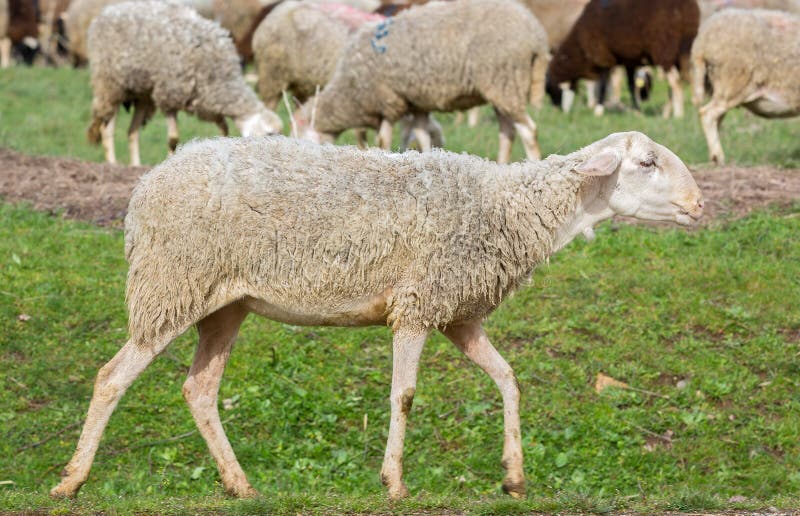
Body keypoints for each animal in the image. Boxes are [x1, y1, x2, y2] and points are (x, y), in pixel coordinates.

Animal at [50, 131, 704, 500]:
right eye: (647, 163)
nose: (700, 205)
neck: (510, 206)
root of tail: (144, 189)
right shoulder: (415, 307)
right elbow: (405, 396)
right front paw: (393, 483)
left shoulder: (456, 312)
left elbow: (509, 378)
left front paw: (515, 477)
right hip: (171, 287)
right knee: (111, 377)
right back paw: (71, 481)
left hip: (225, 304)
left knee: (199, 389)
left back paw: (240, 486)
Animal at [86, 0, 282, 166]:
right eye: (269, 134)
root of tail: (111, 9)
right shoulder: (169, 96)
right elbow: (173, 139)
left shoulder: (207, 105)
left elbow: (224, 130)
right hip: (110, 83)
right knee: (107, 128)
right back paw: (112, 163)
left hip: (142, 94)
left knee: (132, 131)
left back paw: (135, 165)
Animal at [296, 0, 549, 164]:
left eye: (298, 132)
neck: (351, 90)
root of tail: (535, 34)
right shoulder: (416, 103)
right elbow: (423, 138)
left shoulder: (389, 101)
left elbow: (383, 140)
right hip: (502, 87)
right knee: (507, 132)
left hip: (505, 78)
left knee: (529, 131)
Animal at [546, 0, 699, 118]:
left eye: (550, 89)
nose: (559, 111)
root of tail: (687, 9)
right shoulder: (629, 61)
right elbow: (631, 86)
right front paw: (637, 111)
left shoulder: (603, 56)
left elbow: (603, 86)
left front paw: (598, 110)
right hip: (683, 50)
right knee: (681, 81)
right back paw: (667, 112)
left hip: (665, 48)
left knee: (676, 83)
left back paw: (678, 114)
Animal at [691, 8, 800, 164]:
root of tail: (702, 42)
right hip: (732, 83)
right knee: (707, 114)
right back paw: (718, 157)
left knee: (716, 119)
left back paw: (714, 155)